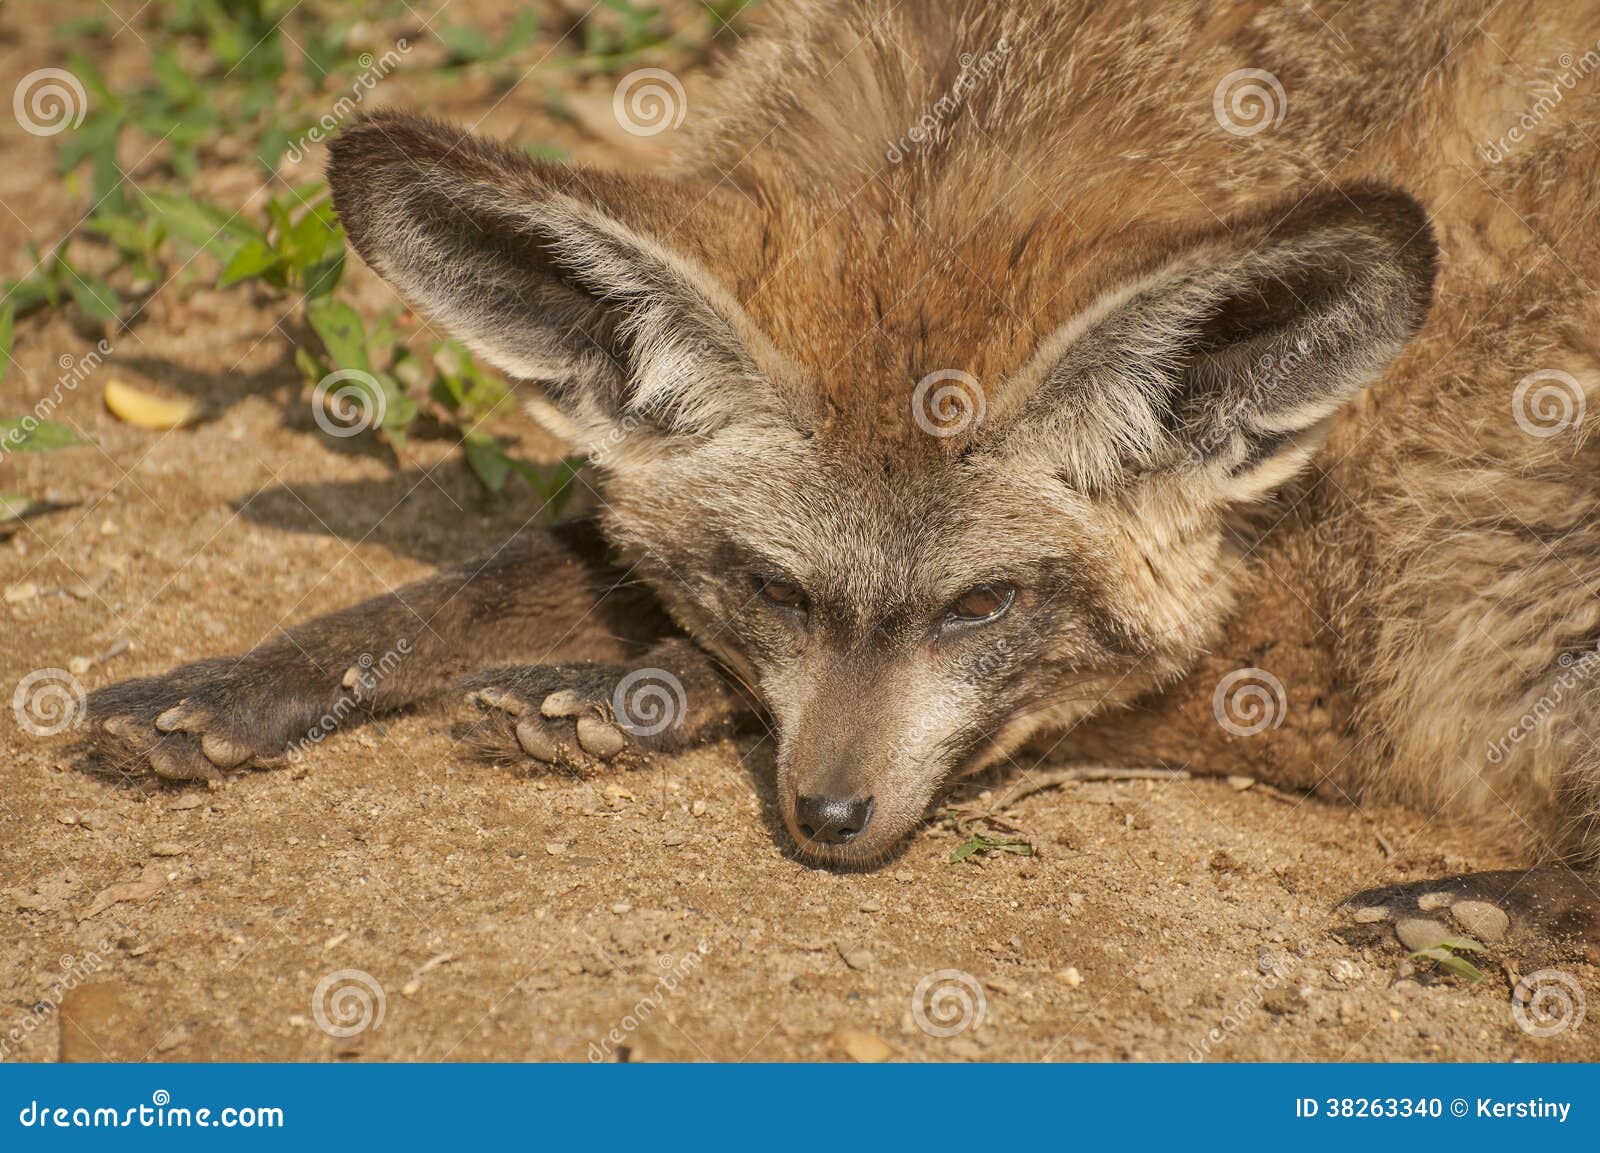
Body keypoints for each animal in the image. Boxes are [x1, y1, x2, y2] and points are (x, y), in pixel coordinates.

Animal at [83, 0, 1600, 948]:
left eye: (984, 606)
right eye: (774, 588)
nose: (827, 820)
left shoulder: (1316, 661)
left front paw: (635, 691)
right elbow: (489, 578)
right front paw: (257, 679)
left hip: (1471, 554)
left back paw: (1493, 912)